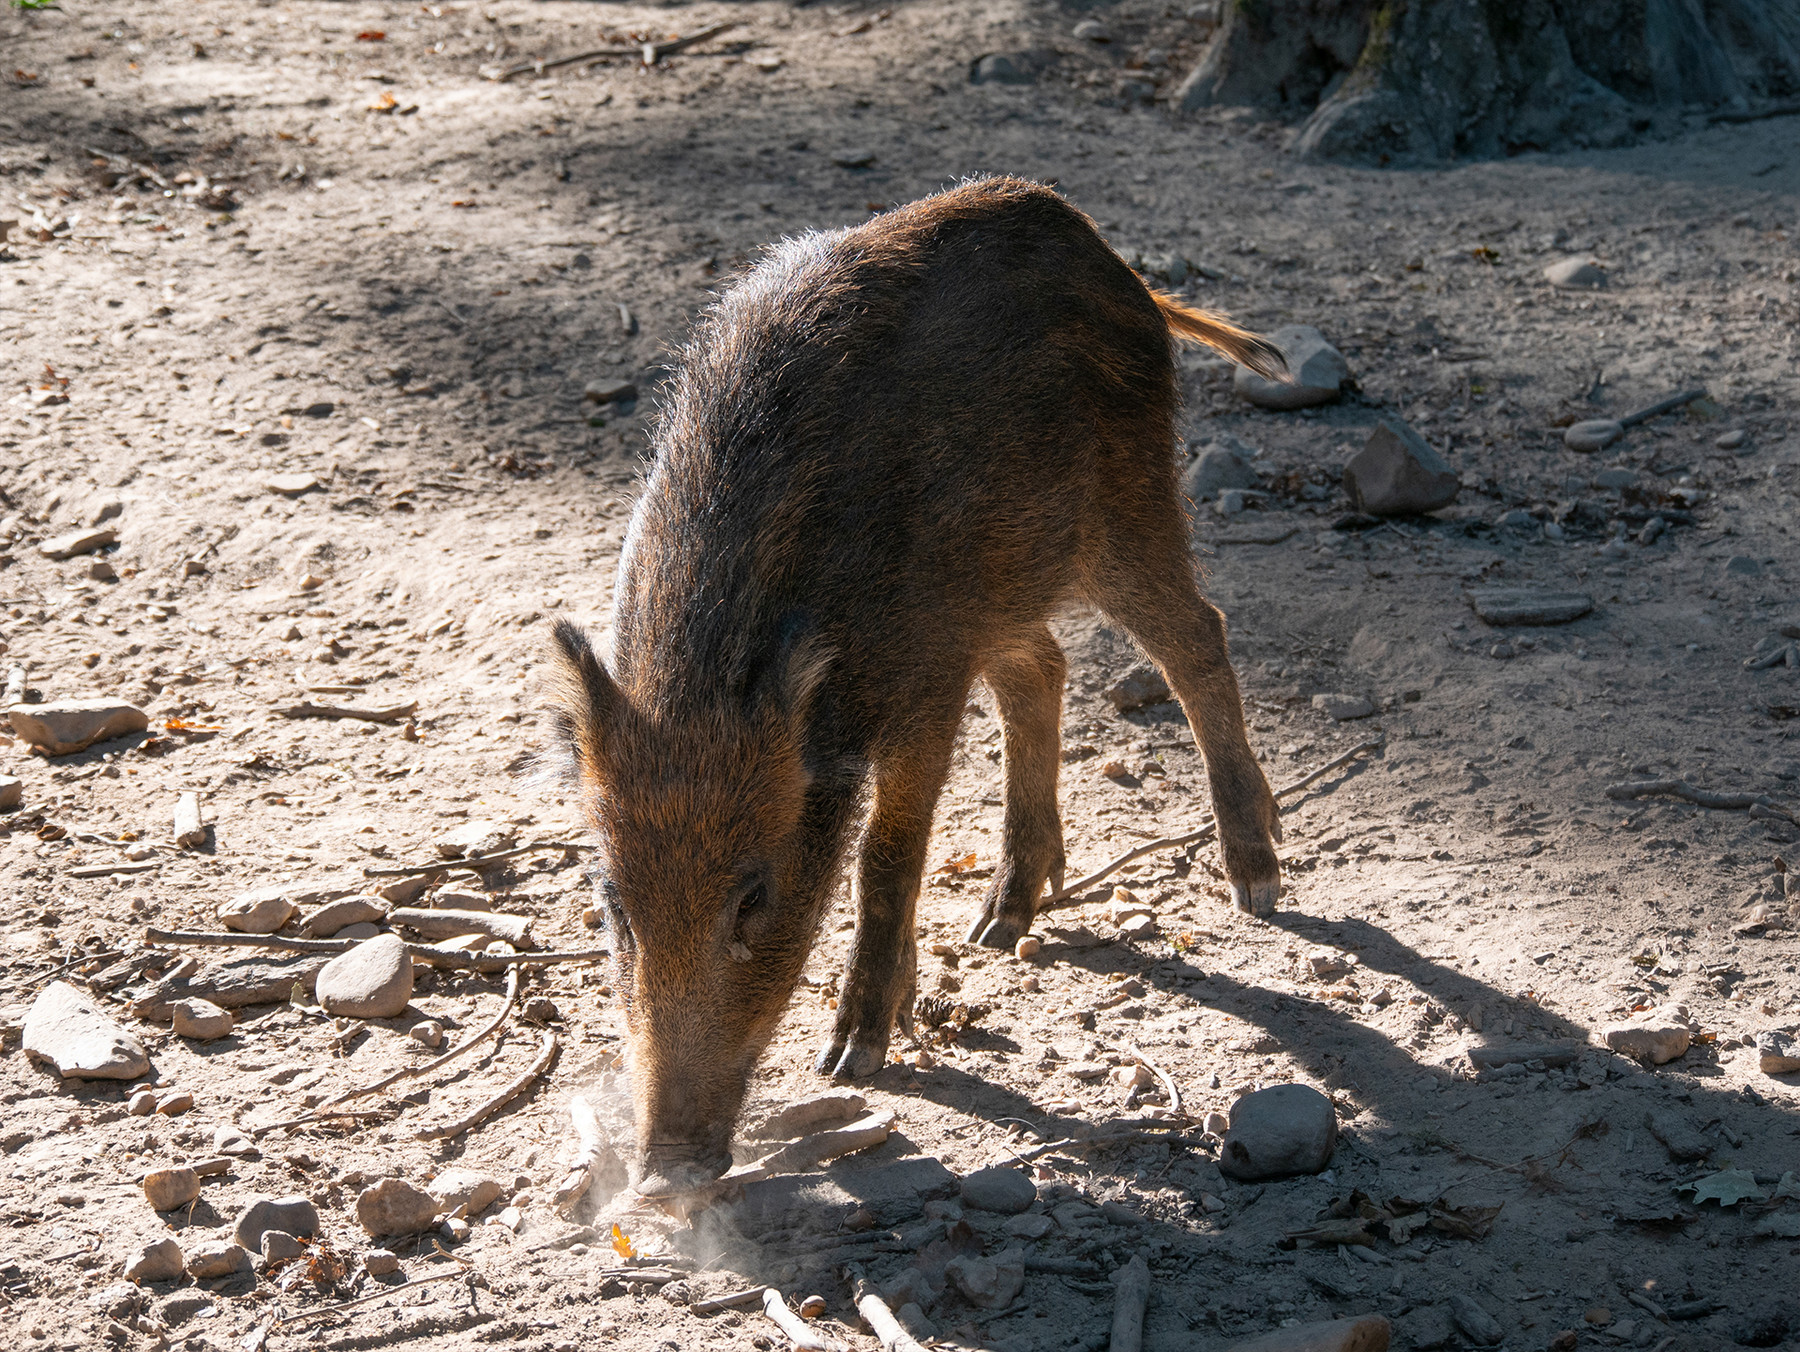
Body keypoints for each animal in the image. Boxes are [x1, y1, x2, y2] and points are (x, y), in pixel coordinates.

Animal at [546, 176, 1285, 1197]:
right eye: (614, 905)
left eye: (754, 898)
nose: (662, 1179)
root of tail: (1114, 264)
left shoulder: (927, 677)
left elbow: (885, 855)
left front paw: (854, 1055)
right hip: (1006, 584)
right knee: (1042, 667)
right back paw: (1001, 924)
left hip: (1124, 510)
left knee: (1197, 640)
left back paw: (1256, 884)